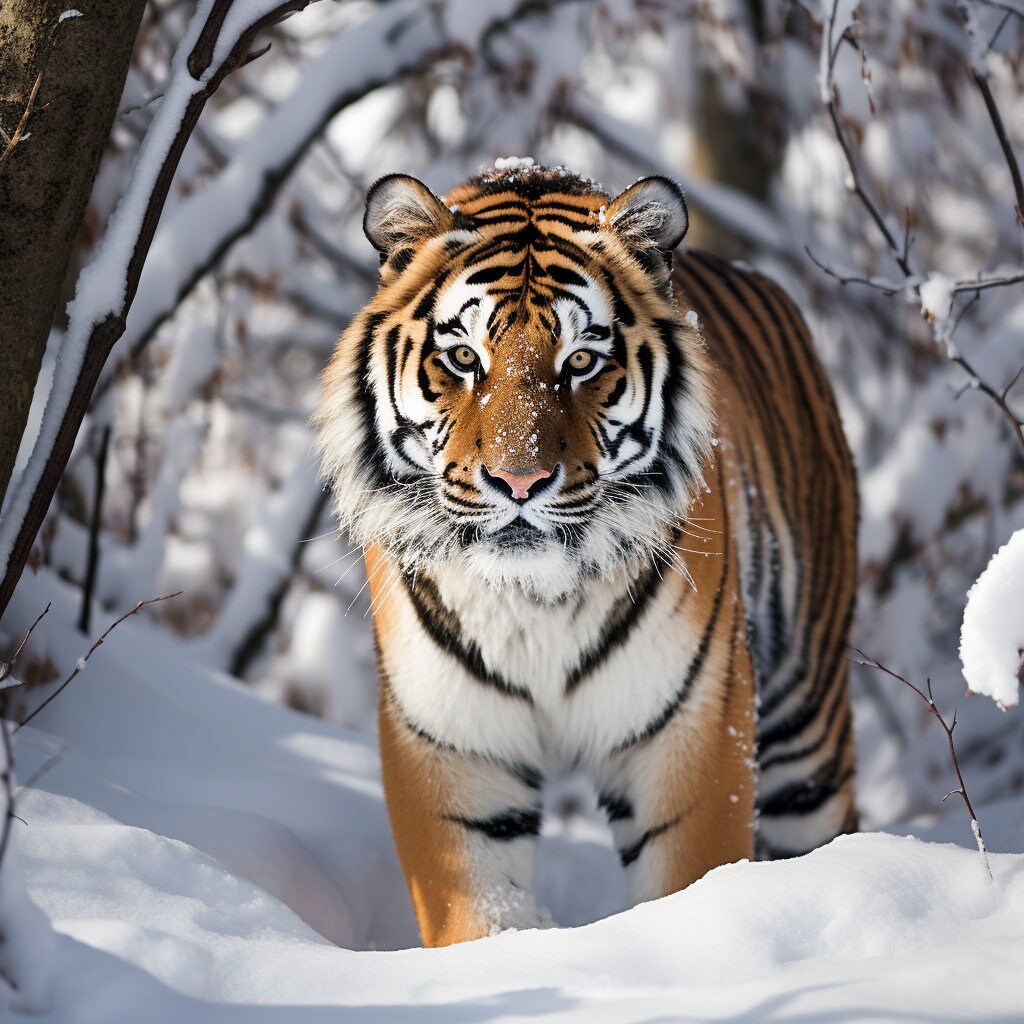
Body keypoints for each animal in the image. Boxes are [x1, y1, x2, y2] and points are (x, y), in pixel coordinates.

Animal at [314, 161, 858, 948]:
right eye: (463, 357)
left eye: (579, 361)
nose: (518, 481)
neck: (533, 599)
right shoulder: (452, 748)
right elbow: (478, 916)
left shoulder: (693, 738)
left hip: (807, 730)